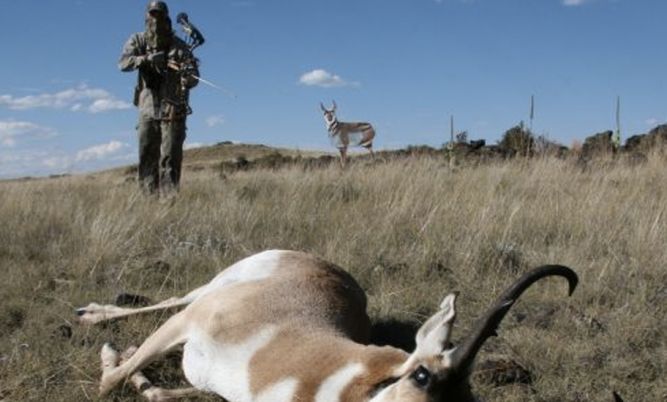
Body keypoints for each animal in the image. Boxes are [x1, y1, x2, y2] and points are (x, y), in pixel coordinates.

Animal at [76, 249, 577, 401]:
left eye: (470, 394)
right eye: (422, 375)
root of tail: (326, 265)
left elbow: (160, 391)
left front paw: (138, 371)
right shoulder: (188, 324)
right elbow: (109, 381)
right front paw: (114, 354)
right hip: (202, 297)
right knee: (170, 300)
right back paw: (92, 316)